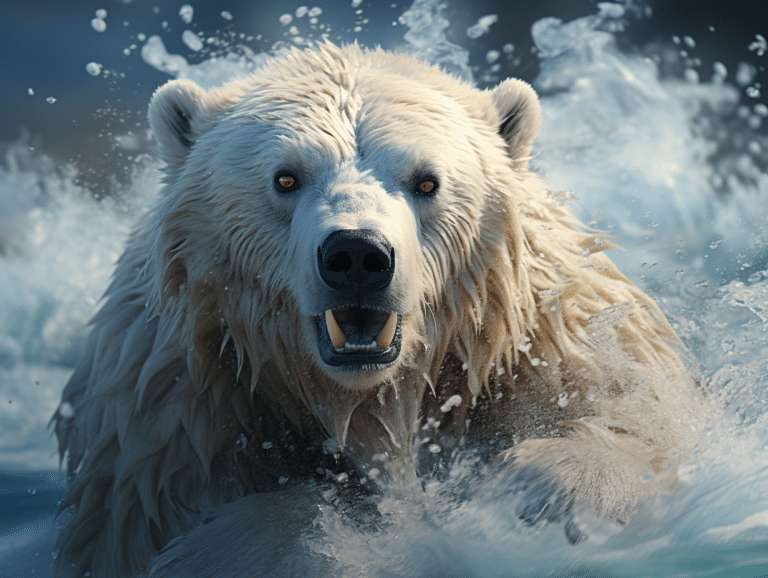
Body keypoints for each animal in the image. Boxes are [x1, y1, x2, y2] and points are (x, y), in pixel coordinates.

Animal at [52, 41, 703, 577]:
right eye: (285, 178)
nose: (357, 255)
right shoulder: (182, 407)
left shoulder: (538, 341)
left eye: (427, 181)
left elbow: (634, 423)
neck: (369, 400)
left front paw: (534, 496)